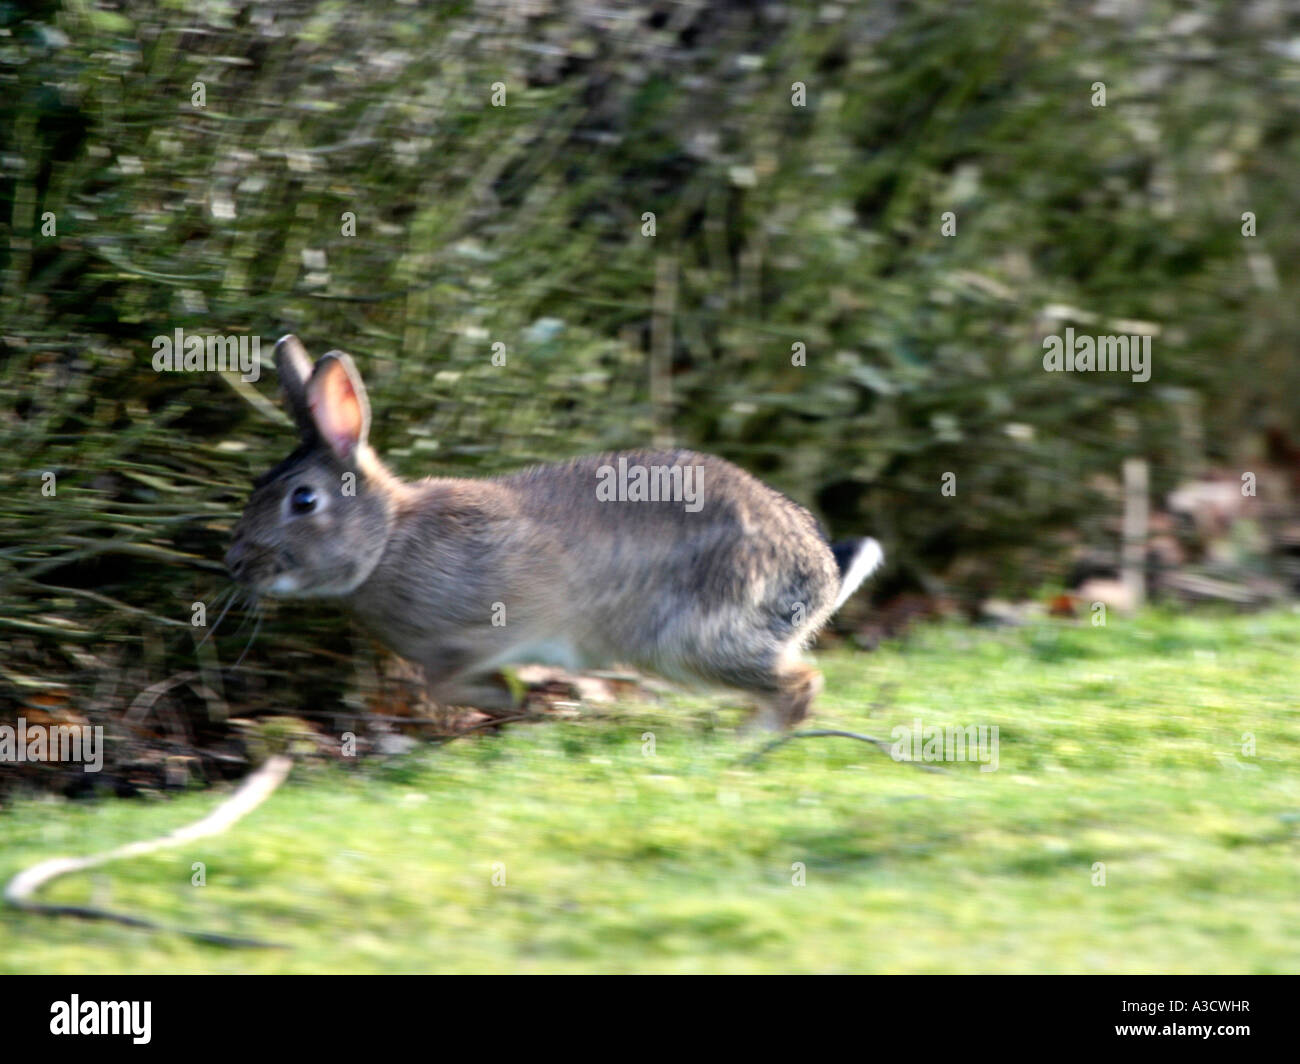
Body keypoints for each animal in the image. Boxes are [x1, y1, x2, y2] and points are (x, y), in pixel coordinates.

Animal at [225, 335, 884, 730]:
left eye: (302, 500)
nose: (234, 563)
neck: (387, 540)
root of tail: (820, 574)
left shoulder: (489, 630)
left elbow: (451, 684)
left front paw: (514, 701)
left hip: (686, 639)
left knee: (800, 682)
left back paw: (747, 741)